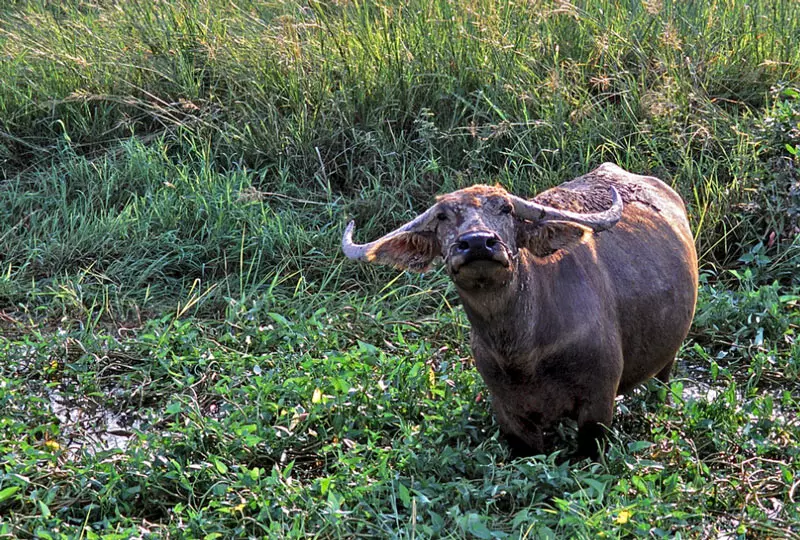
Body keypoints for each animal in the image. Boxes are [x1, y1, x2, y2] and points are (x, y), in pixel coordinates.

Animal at [340, 162, 696, 458]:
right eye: (442, 216)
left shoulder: (598, 403)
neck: (523, 351)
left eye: (506, 208)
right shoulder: (510, 416)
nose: (478, 242)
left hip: (667, 359)